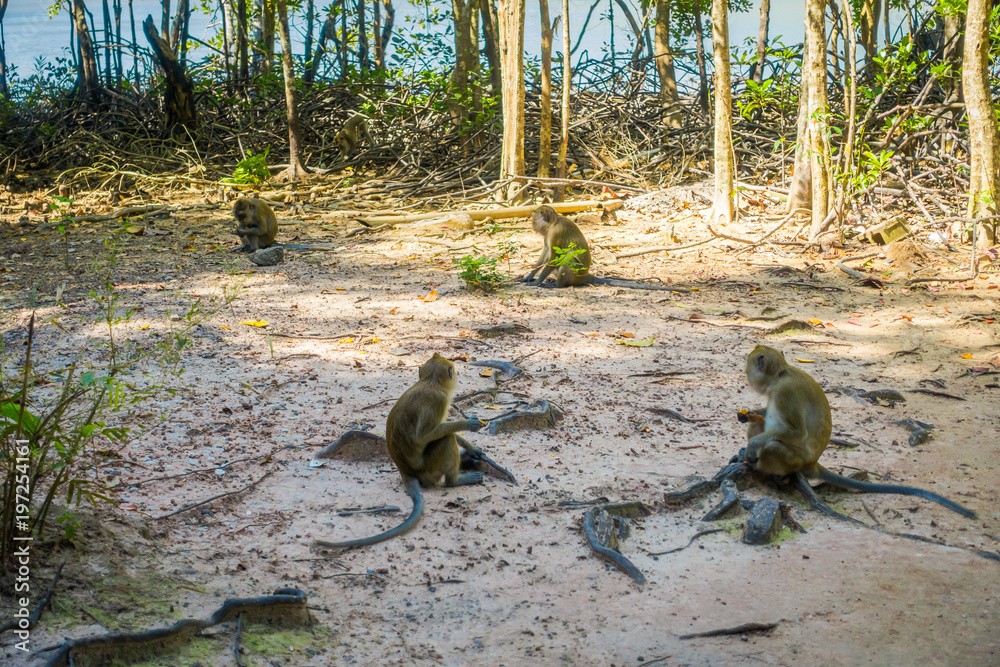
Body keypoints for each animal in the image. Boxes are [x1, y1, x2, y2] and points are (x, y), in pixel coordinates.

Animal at [315, 353, 485, 550]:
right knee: (445, 439)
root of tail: (405, 471)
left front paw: (471, 448)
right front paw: (468, 424)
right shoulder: (438, 400)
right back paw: (455, 481)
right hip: (429, 470)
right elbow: (427, 435)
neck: (430, 382)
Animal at [518, 206, 690, 292]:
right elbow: (546, 254)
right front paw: (529, 276)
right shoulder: (548, 235)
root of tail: (586, 277)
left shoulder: (556, 233)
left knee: (568, 259)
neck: (553, 223)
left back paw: (557, 285)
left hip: (576, 274)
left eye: (533, 218)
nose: (531, 224)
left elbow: (554, 257)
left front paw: (537, 281)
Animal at [743, 344, 976, 519]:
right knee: (758, 427)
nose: (746, 374)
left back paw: (762, 468)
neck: (780, 375)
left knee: (772, 446)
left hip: (795, 461)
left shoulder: (785, 393)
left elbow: (796, 432)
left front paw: (753, 444)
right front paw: (750, 413)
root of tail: (813, 463)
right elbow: (761, 418)